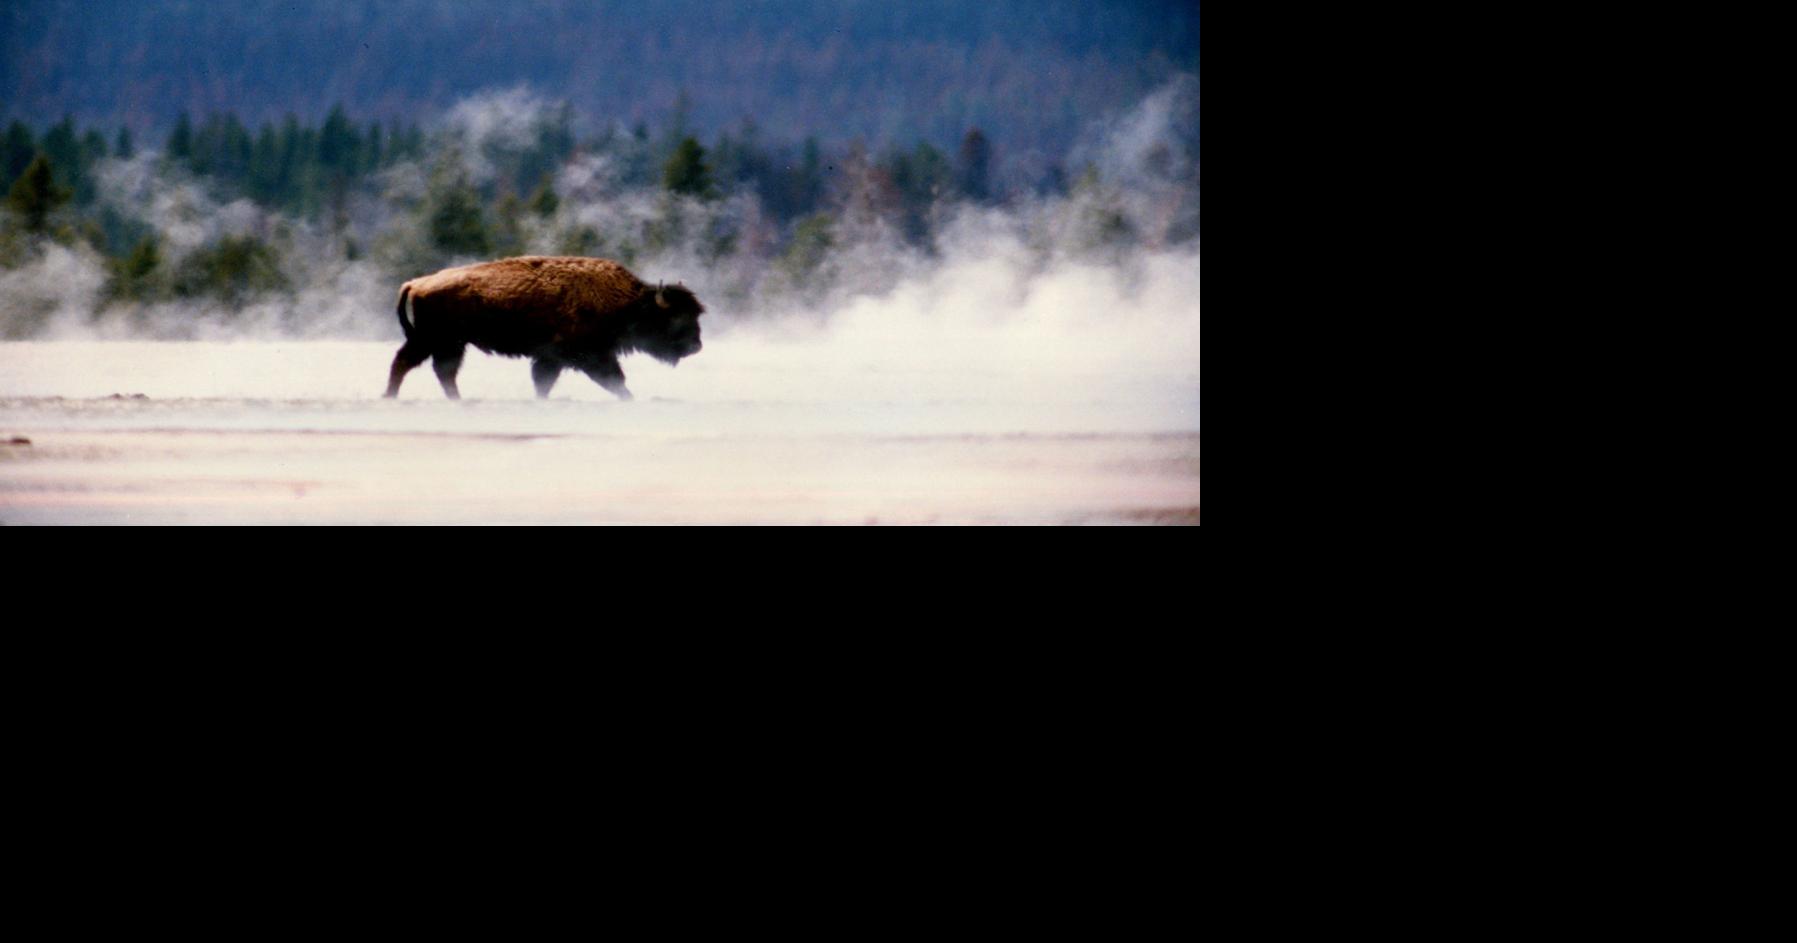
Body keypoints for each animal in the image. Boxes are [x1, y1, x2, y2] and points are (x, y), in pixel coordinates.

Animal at [383, 256, 705, 400]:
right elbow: (615, 379)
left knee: (440, 370)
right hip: (437, 340)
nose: (696, 346)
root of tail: (417, 282)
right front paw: (629, 398)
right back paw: (391, 396)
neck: (628, 303)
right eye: (676, 318)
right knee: (409, 363)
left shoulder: (551, 358)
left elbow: (543, 381)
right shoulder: (591, 355)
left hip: (448, 343)